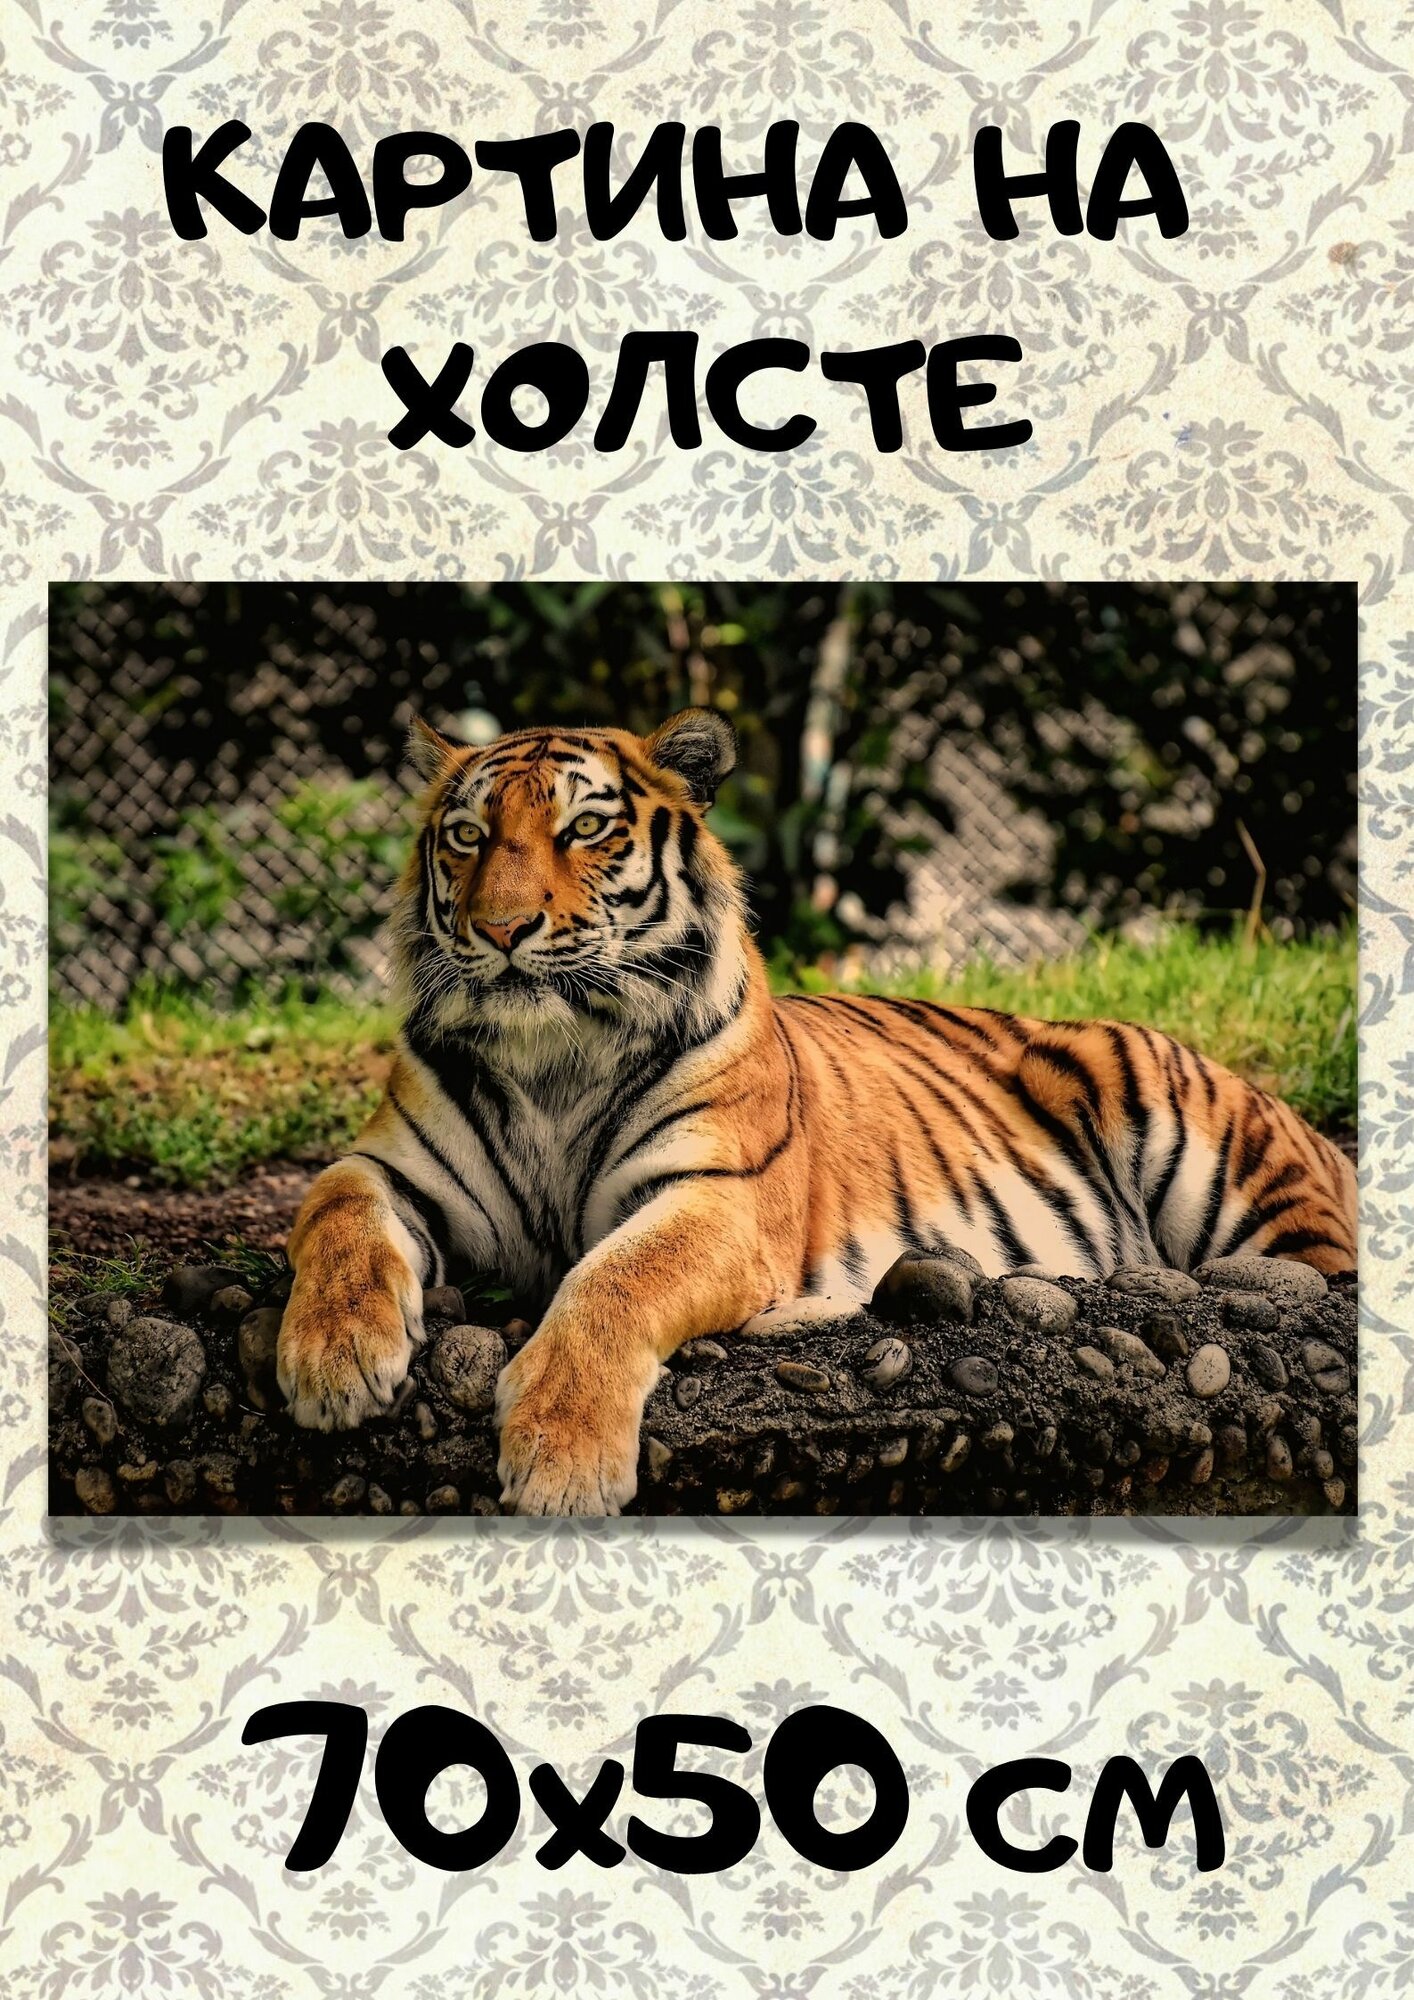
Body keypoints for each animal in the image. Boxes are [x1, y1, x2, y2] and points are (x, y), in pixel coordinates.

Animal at [276, 708, 1357, 1516]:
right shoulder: (386, 1166)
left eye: (584, 828)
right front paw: (333, 1363)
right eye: (466, 836)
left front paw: (558, 1457)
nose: (500, 929)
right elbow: (334, 1222)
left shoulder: (717, 1196)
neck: (554, 1057)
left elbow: (610, 1282)